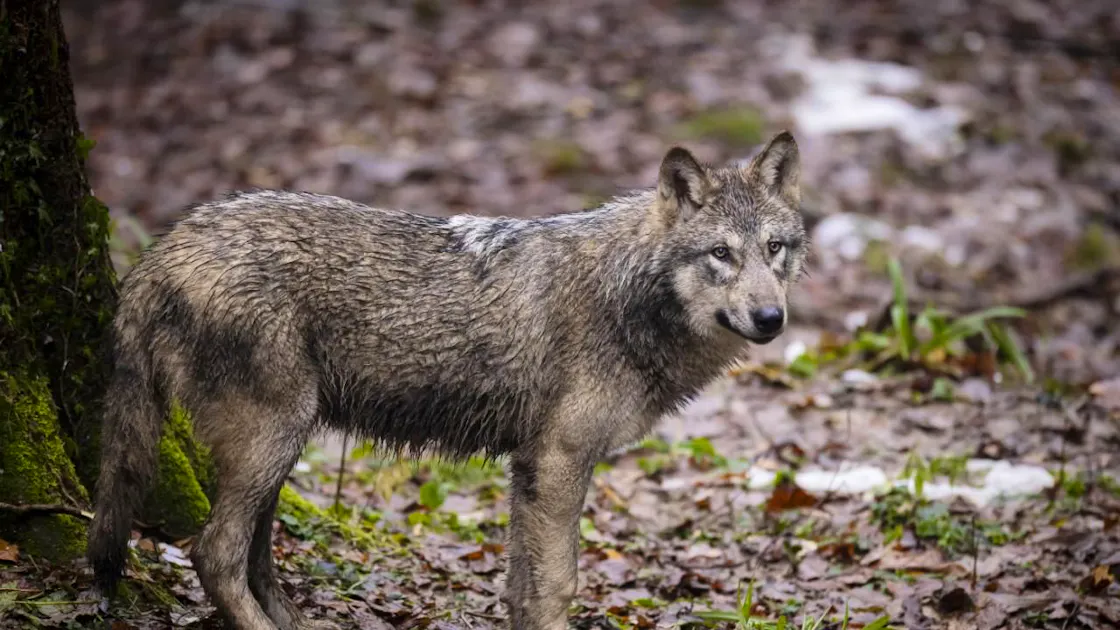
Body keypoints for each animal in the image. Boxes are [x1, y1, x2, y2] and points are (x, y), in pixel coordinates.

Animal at [87, 131, 808, 630]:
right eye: (721, 254)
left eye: (774, 248)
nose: (772, 318)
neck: (625, 296)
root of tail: (160, 250)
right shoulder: (559, 461)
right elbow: (557, 586)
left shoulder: (529, 468)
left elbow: (520, 589)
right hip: (271, 441)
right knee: (214, 553)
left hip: (277, 450)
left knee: (254, 555)